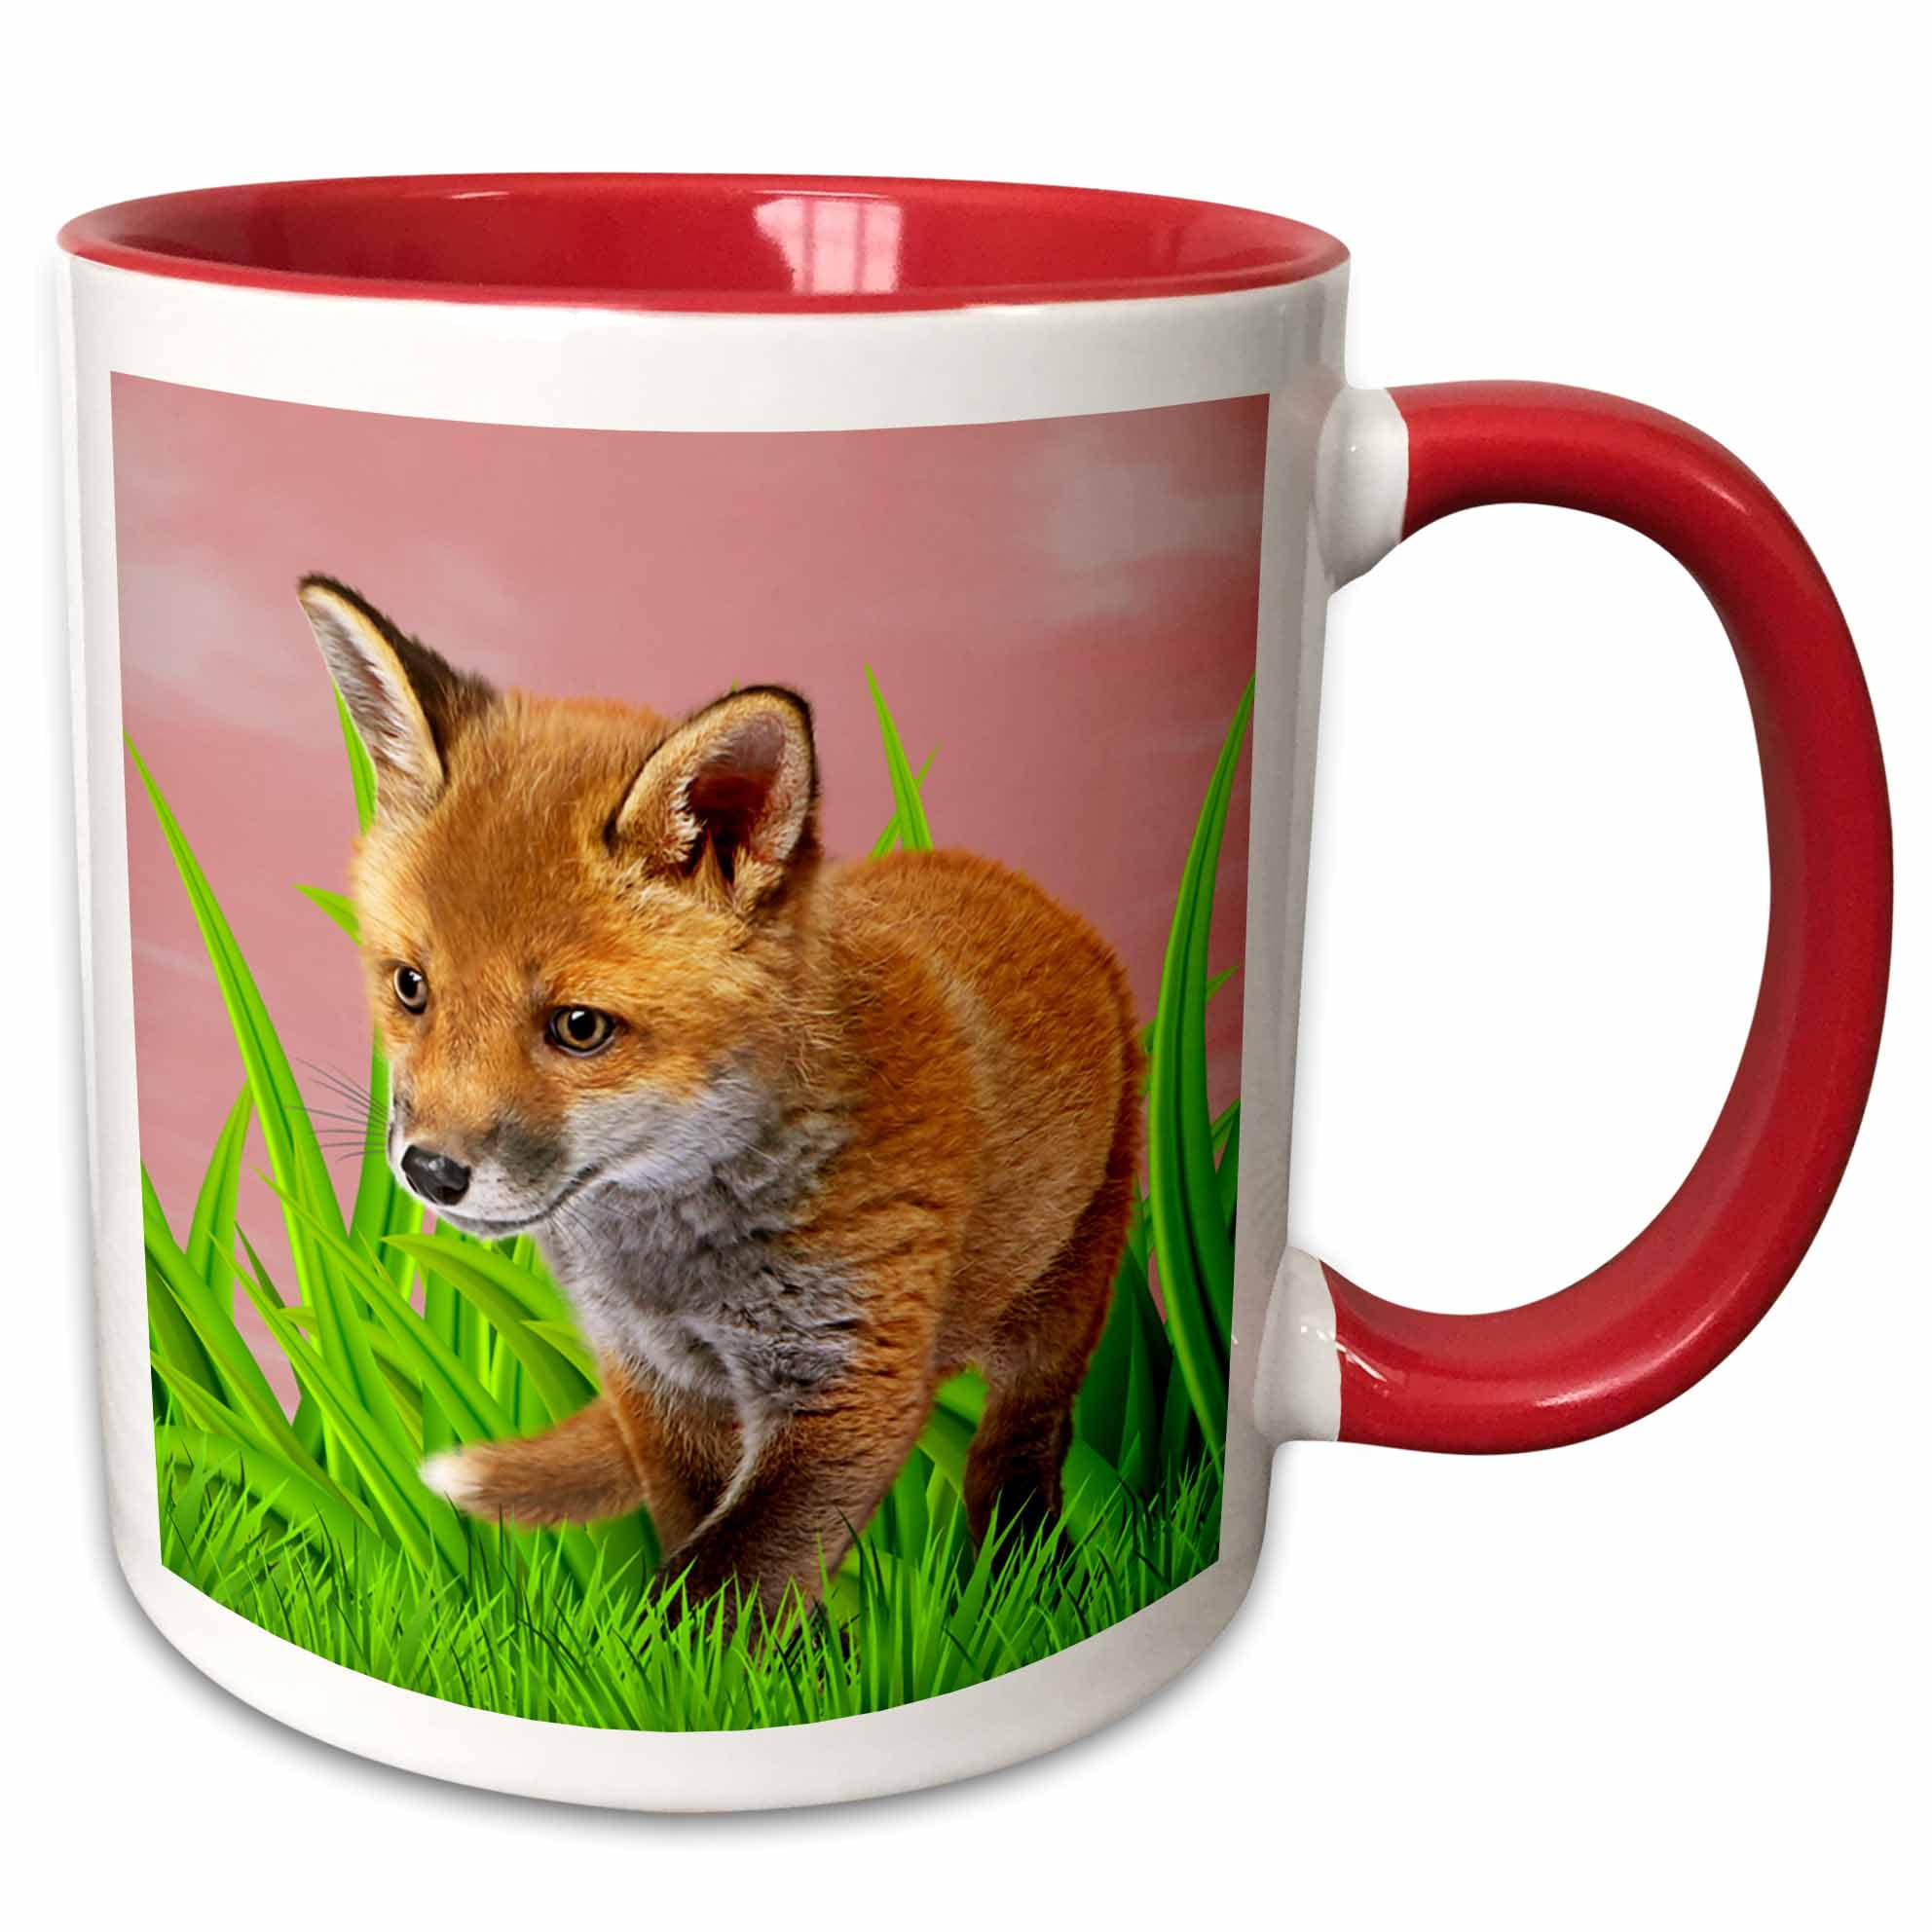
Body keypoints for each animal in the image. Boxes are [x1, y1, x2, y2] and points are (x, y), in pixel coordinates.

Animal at [297, 575, 1141, 1623]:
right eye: (411, 987)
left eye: (580, 1027)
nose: (430, 1172)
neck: (678, 1257)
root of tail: (1021, 889)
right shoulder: (657, 1379)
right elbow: (706, 1547)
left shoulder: (848, 1379)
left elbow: (717, 1585)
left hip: (1066, 1286)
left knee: (1020, 1445)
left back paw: (1023, 1576)